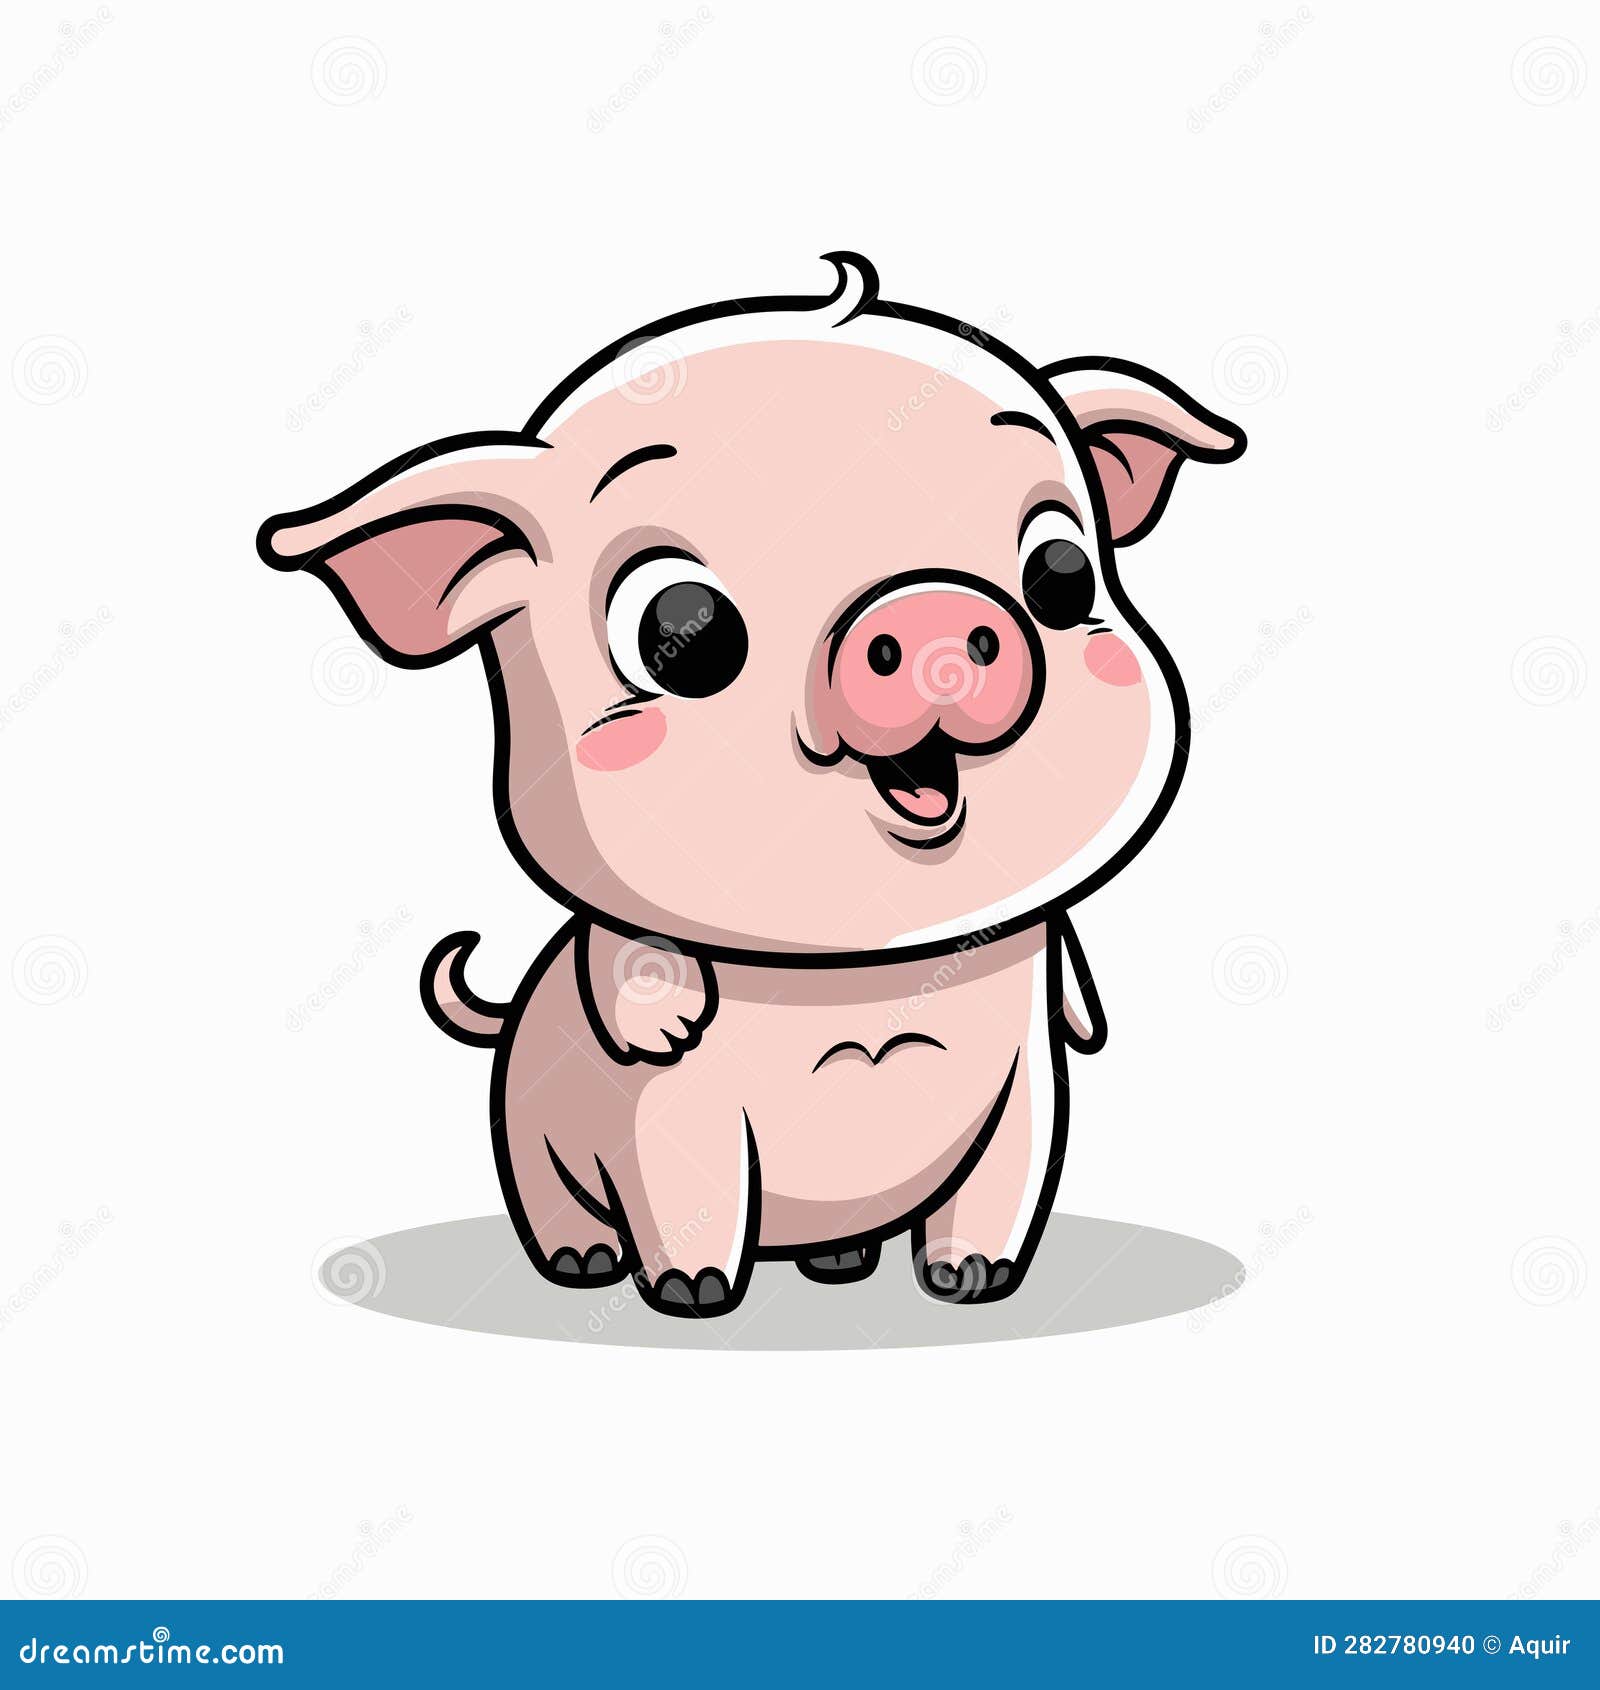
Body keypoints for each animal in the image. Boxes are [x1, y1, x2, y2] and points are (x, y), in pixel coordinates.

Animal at [258, 254, 1245, 1317]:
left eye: (1062, 571)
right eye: (678, 629)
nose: (931, 609)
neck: (861, 978)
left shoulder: (1028, 1081)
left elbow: (1007, 1176)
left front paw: (975, 1282)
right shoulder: (671, 1116)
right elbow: (680, 1154)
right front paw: (691, 1289)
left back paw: (843, 1266)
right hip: (526, 1130)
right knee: (557, 1200)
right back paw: (587, 1267)